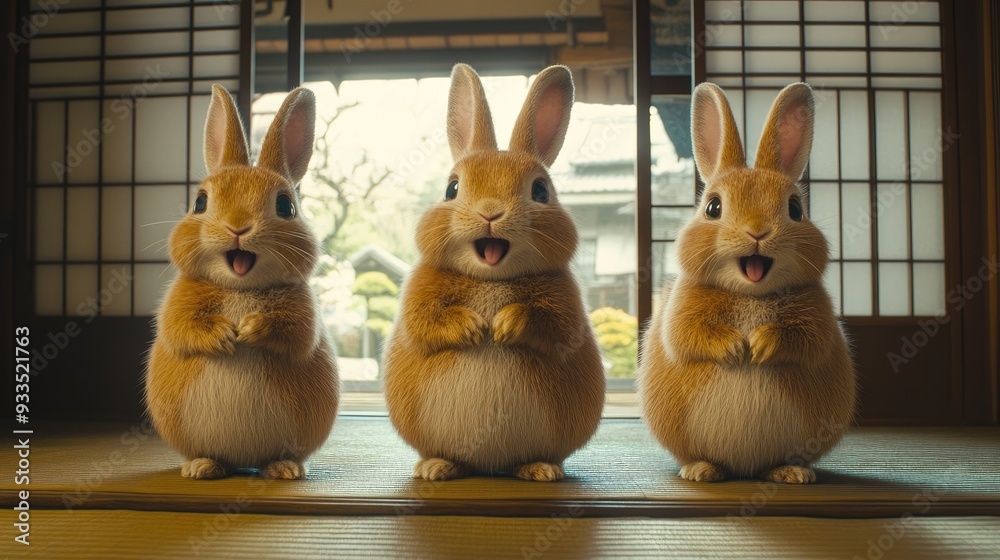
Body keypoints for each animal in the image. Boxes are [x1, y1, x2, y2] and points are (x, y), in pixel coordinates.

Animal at [145, 85, 338, 480]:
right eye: (200, 202)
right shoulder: (178, 306)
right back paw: (201, 467)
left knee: (278, 457)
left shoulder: (304, 314)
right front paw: (223, 335)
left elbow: (294, 334)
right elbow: (182, 329)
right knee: (209, 456)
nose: (238, 226)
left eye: (285, 206)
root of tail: (243, 461)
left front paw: (249, 330)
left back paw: (284, 468)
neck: (241, 287)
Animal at [382, 64, 605, 482]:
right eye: (452, 188)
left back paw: (542, 469)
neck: (491, 278)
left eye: (540, 191)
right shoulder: (418, 300)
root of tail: (489, 465)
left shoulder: (566, 308)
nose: (490, 212)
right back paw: (437, 467)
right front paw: (473, 328)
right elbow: (424, 324)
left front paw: (504, 325)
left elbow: (555, 327)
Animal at [638, 82, 856, 484]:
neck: (750, 293)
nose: (757, 231)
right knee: (704, 459)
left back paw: (792, 473)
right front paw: (737, 348)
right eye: (713, 208)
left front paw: (761, 345)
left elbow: (804, 340)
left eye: (795, 209)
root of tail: (746, 469)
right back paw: (702, 470)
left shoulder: (817, 320)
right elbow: (689, 336)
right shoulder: (682, 316)